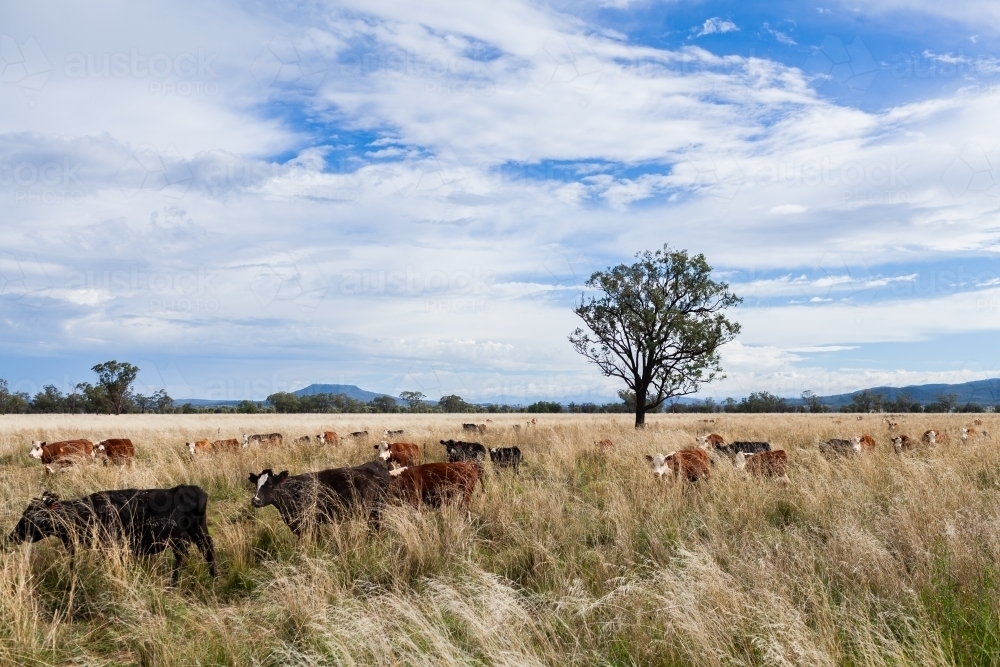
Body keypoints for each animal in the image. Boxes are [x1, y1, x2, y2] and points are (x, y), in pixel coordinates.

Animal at [7, 486, 216, 585]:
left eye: (31, 517)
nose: (11, 536)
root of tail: (191, 488)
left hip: (189, 537)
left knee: (203, 553)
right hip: (191, 536)